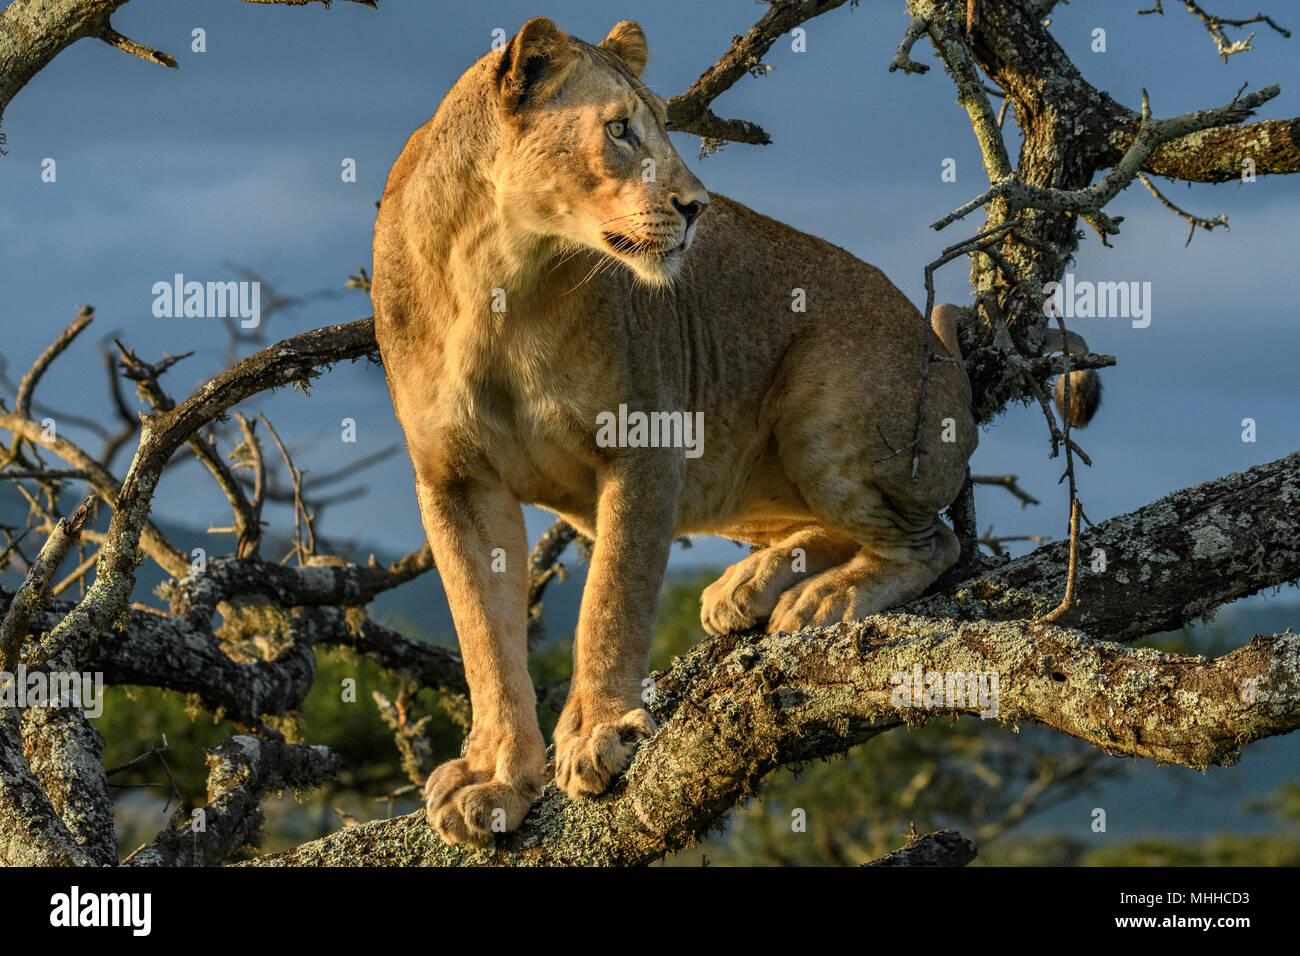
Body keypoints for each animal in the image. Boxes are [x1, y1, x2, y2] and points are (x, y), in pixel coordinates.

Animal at [371, 17, 981, 847]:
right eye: (619, 130)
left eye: (665, 126)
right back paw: (753, 585)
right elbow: (484, 641)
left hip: (820, 413)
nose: (698, 206)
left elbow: (613, 598)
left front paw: (600, 733)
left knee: (933, 540)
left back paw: (824, 601)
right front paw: (496, 775)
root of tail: (943, 355)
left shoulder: (645, 439)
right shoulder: (454, 479)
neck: (495, 274)